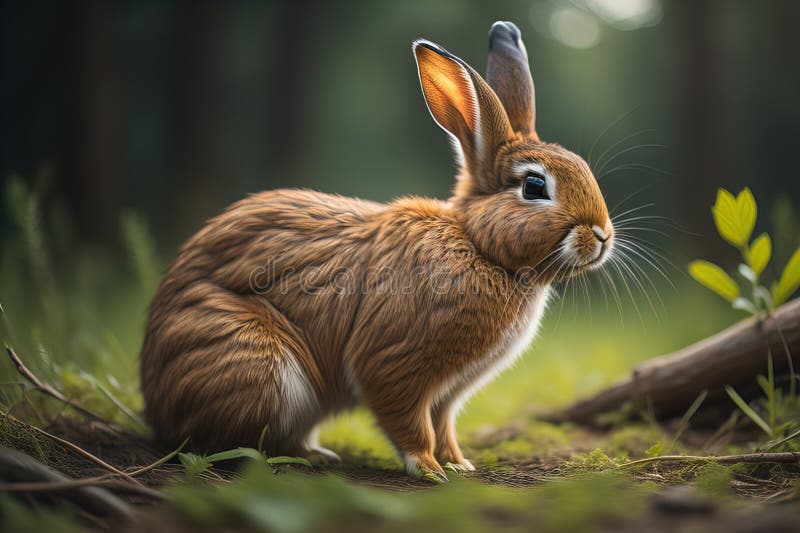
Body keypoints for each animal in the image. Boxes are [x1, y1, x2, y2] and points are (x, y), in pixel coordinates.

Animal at [140, 20, 614, 482]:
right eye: (534, 186)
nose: (603, 235)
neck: (478, 245)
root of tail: (155, 401)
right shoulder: (394, 359)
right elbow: (408, 419)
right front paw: (429, 470)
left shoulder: (447, 394)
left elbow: (444, 424)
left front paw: (458, 464)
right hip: (258, 365)